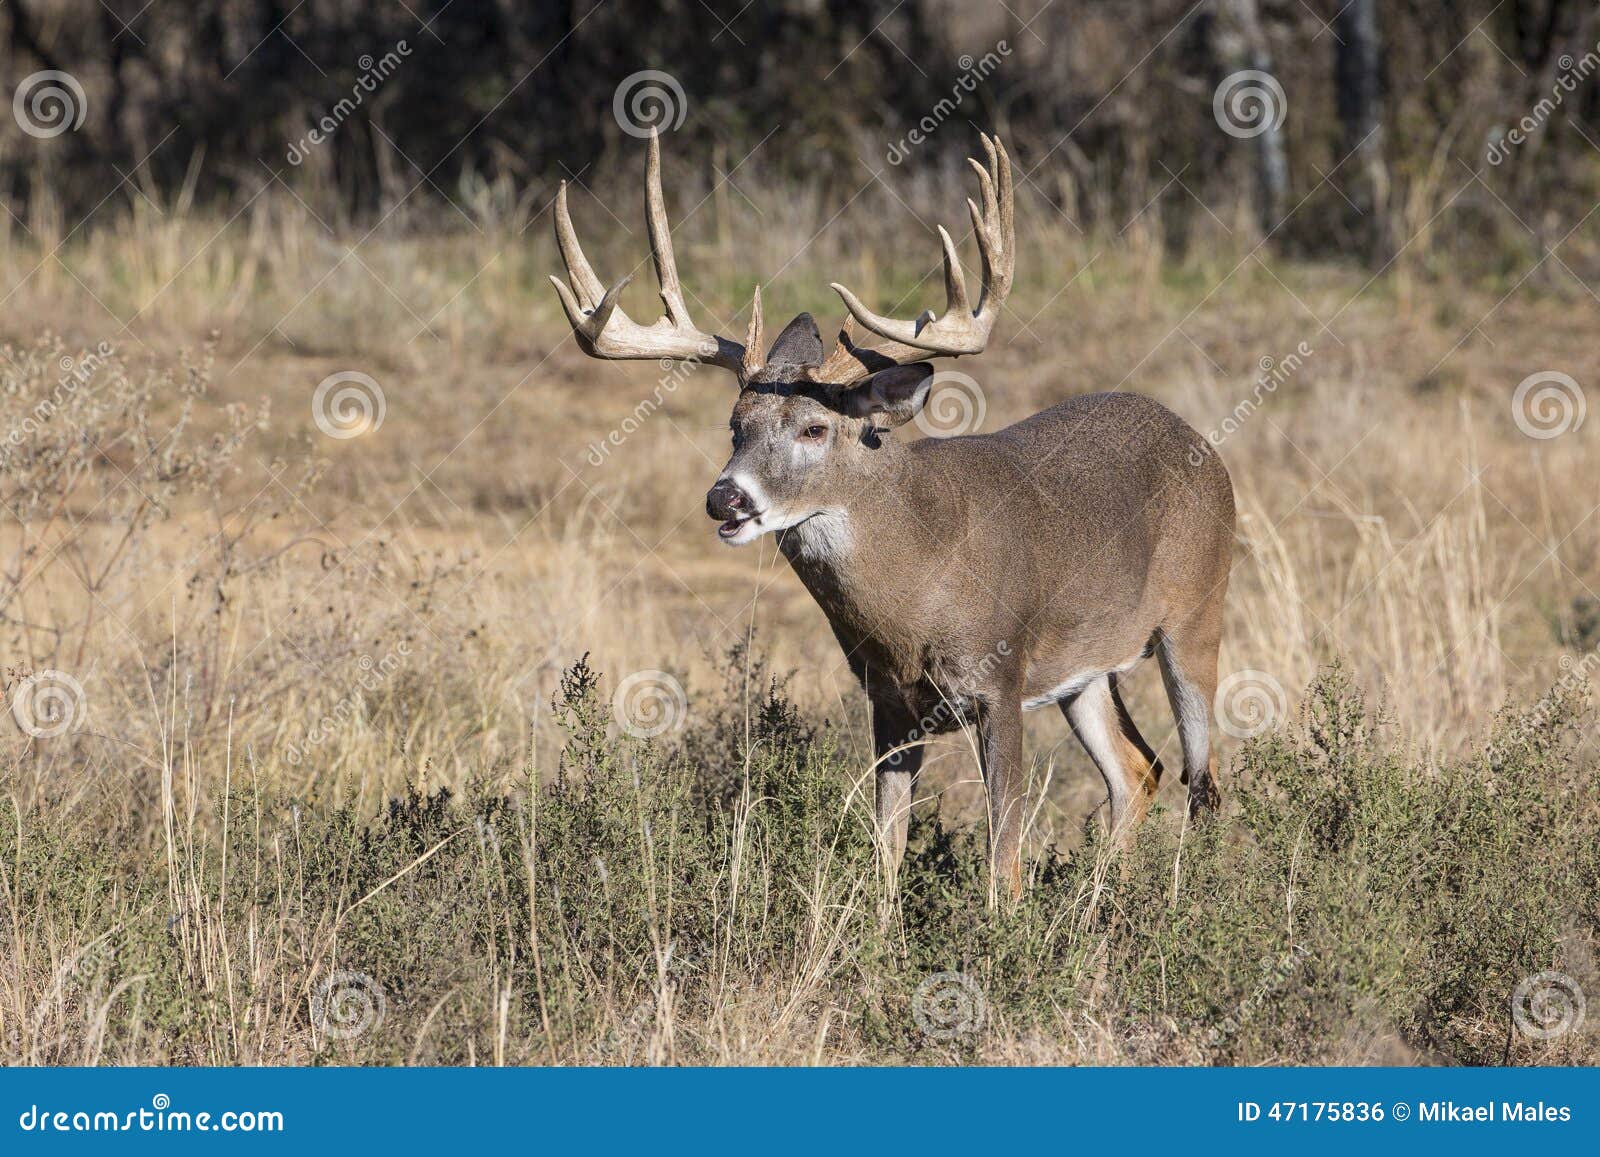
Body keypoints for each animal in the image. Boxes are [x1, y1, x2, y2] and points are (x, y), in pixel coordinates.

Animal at [550, 130, 1235, 899]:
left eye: (815, 428)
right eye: (734, 425)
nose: (725, 497)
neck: (914, 596)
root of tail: (1200, 441)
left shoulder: (1001, 679)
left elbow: (1003, 861)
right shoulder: (888, 704)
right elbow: (886, 848)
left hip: (1197, 611)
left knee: (1203, 779)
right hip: (1086, 669)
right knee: (1139, 770)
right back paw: (1098, 909)